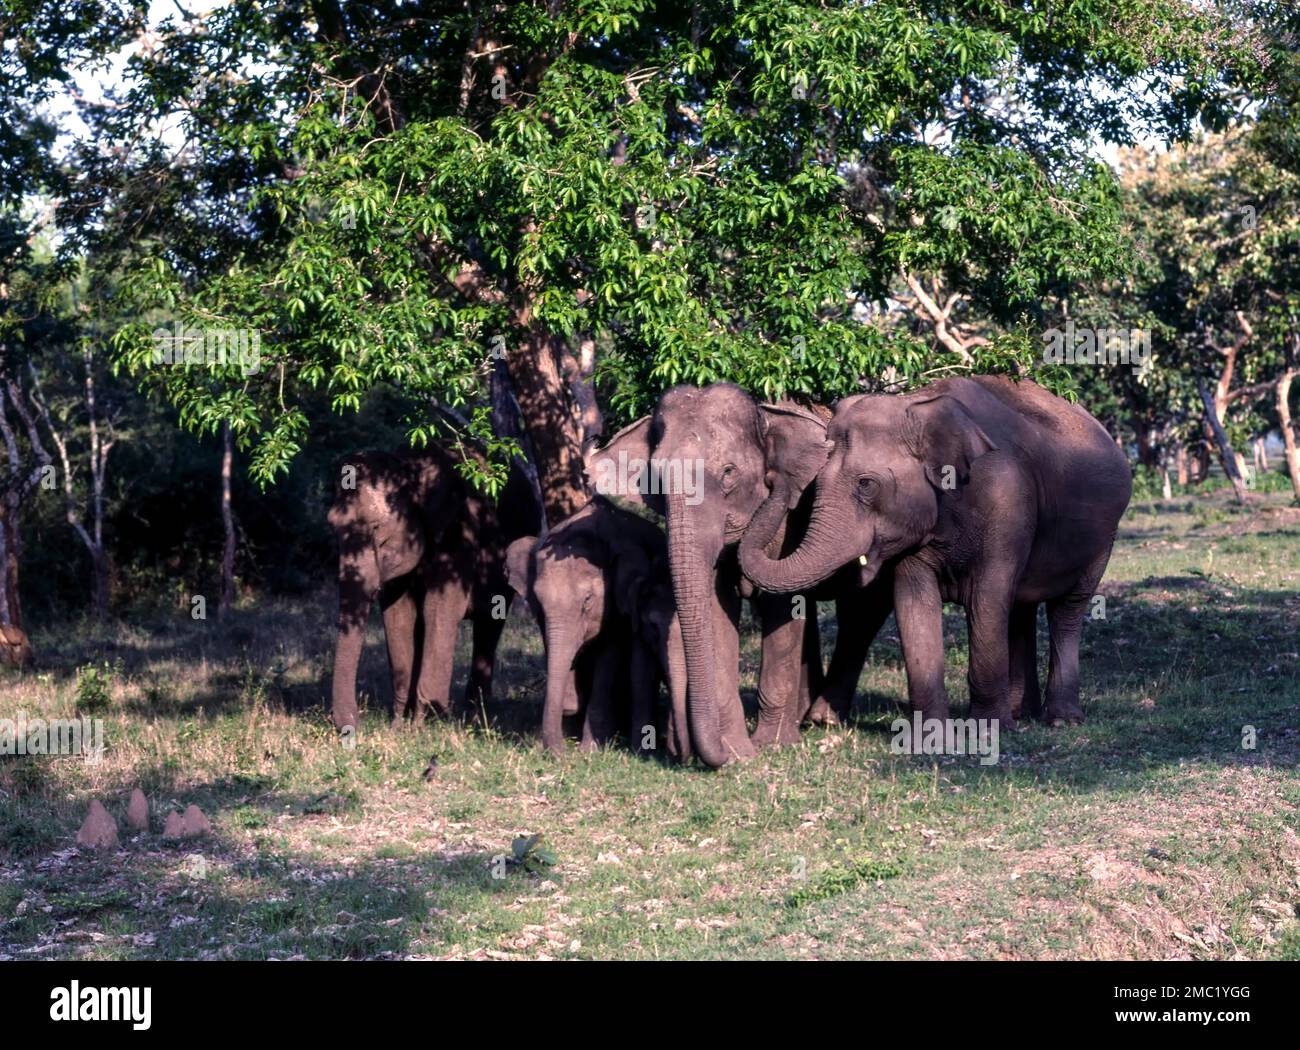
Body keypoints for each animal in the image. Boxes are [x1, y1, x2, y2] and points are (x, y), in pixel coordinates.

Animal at [328, 443, 542, 730]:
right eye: (332, 527)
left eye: (376, 528)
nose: (354, 726)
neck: (409, 465)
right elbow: (399, 615)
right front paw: (399, 726)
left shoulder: (460, 532)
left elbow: (439, 610)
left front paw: (424, 726)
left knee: (488, 624)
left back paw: (475, 716)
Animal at [505, 496, 688, 757]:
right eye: (538, 601)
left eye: (588, 600)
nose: (561, 754)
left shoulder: (619, 608)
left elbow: (609, 656)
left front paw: (590, 750)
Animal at [587, 383, 895, 768]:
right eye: (656, 479)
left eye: (728, 473)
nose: (774, 480)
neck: (765, 416)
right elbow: (718, 606)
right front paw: (738, 753)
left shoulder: (790, 520)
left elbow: (781, 606)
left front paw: (772, 746)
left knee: (861, 612)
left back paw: (821, 720)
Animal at [739, 375, 1132, 728]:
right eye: (815, 484)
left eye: (866, 485)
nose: (774, 480)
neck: (918, 405)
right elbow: (914, 601)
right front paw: (931, 734)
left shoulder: (1007, 503)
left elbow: (987, 600)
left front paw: (988, 729)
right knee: (1022, 610)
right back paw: (1023, 715)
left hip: (1104, 537)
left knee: (1068, 609)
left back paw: (1062, 720)